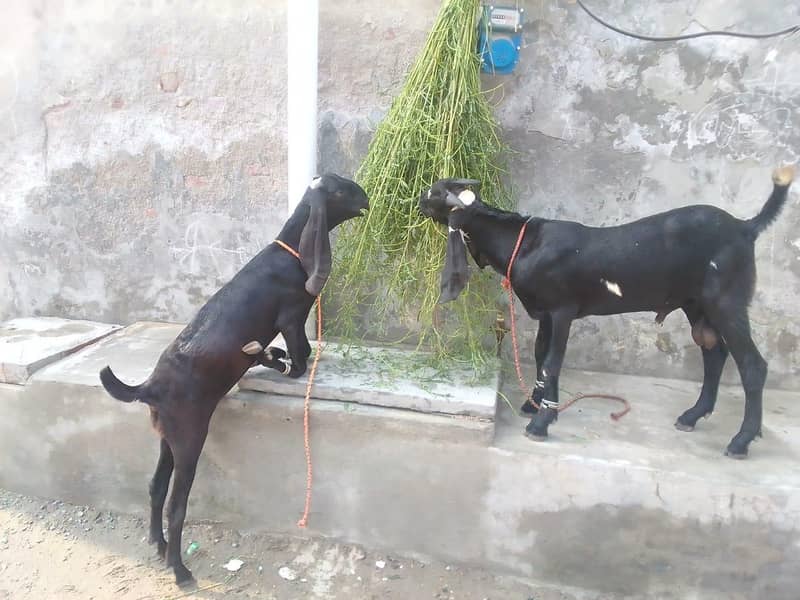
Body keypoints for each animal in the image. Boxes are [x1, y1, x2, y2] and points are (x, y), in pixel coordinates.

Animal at [99, 174, 369, 586]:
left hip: (167, 436)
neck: (289, 252)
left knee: (156, 487)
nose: (367, 199)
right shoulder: (291, 317)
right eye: (339, 190)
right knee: (177, 504)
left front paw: (266, 356)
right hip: (190, 437)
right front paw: (277, 360)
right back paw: (180, 569)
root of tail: (150, 387)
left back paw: (159, 544)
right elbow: (302, 356)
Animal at [419, 167, 795, 459]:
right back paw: (691, 416)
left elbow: (553, 361)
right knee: (714, 354)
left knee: (752, 365)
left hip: (726, 302)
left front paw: (541, 423)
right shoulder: (545, 312)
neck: (525, 243)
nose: (419, 202)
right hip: (697, 304)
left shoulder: (562, 309)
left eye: (436, 192)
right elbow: (541, 355)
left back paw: (740, 441)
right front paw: (535, 405)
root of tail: (746, 227)